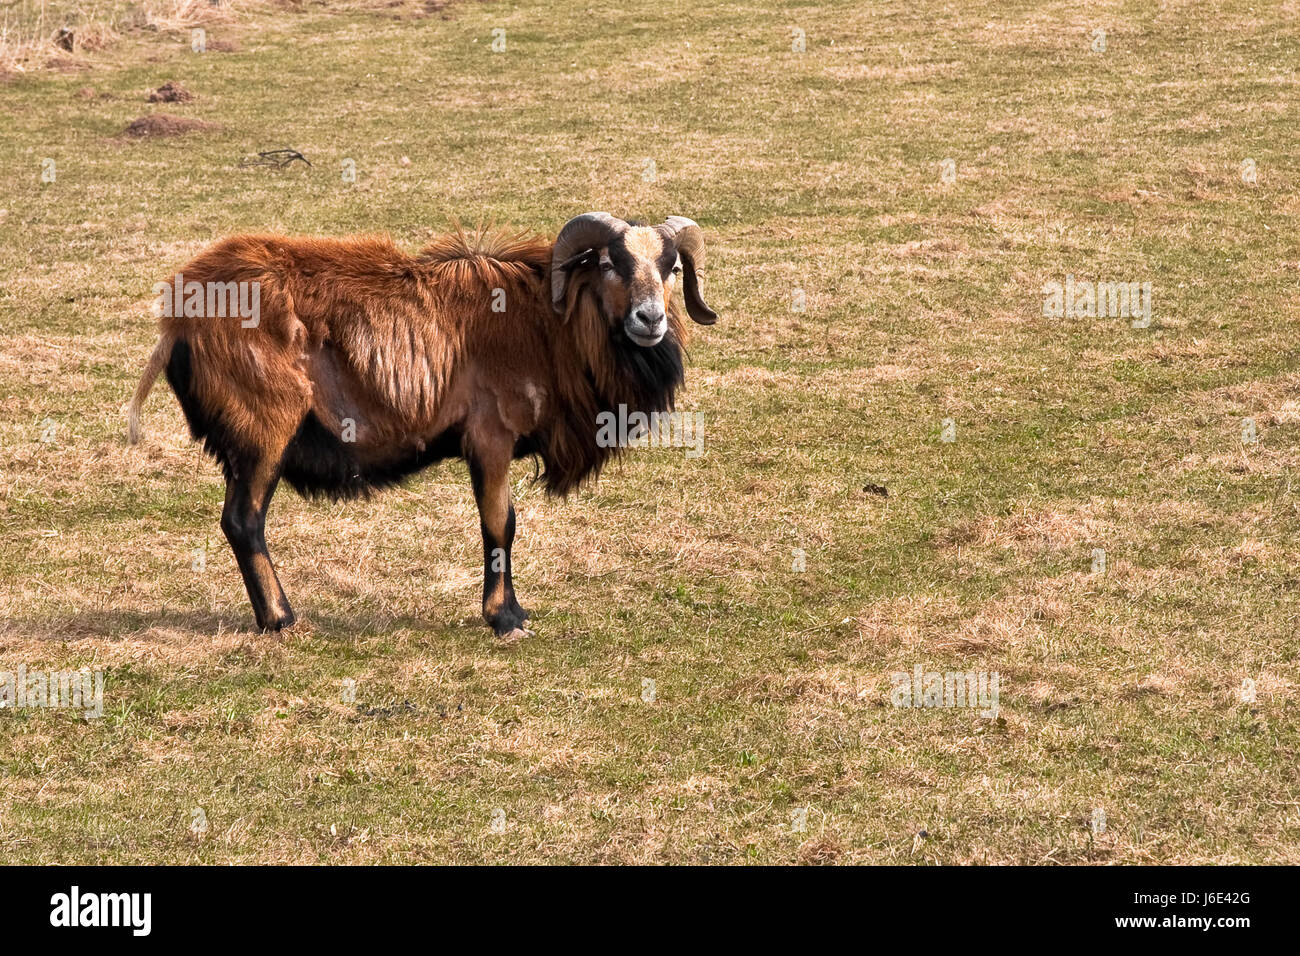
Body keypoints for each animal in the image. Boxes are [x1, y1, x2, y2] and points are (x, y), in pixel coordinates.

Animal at [126, 213, 719, 640]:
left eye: (670, 268)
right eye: (611, 263)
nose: (650, 320)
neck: (545, 325)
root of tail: (177, 319)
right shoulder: (490, 438)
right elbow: (500, 524)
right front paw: (505, 619)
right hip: (264, 430)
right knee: (243, 521)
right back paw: (280, 619)